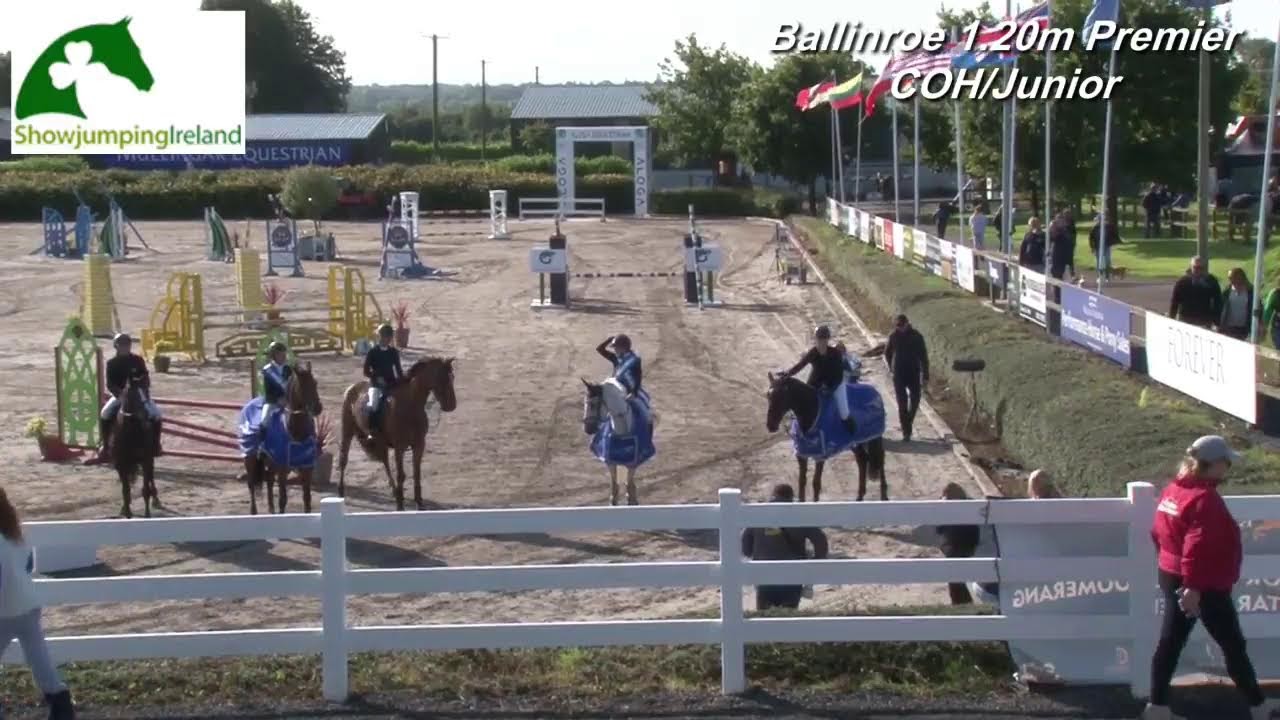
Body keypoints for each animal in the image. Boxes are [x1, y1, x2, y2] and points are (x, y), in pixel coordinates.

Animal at [111, 379, 158, 518]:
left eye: (147, 391)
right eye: (132, 395)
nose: (149, 417)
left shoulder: (146, 460)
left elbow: (145, 490)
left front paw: (147, 515)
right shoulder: (120, 464)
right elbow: (125, 491)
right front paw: (127, 512)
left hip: (150, 459)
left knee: (151, 477)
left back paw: (156, 500)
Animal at [241, 364, 323, 515]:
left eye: (315, 383)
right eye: (301, 385)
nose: (317, 408)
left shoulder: (306, 467)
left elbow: (307, 499)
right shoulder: (282, 469)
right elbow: (283, 499)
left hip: (270, 462)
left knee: (269, 480)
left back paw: (271, 510)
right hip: (249, 457)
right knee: (251, 483)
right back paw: (253, 512)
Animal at [338, 357, 457, 511]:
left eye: (452, 377)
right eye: (443, 378)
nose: (451, 406)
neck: (411, 405)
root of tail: (352, 388)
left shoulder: (419, 445)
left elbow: (416, 473)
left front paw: (419, 503)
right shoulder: (400, 447)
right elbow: (401, 475)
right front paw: (400, 506)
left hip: (380, 441)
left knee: (385, 461)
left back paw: (394, 491)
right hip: (347, 431)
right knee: (343, 459)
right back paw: (340, 492)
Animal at [581, 378, 657, 506]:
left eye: (593, 404)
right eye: (585, 402)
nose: (587, 429)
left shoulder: (633, 462)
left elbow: (629, 484)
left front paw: (632, 500)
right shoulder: (610, 461)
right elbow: (614, 486)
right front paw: (613, 501)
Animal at [765, 373, 888, 502]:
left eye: (781, 397)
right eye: (768, 396)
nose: (771, 426)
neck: (812, 412)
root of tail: (875, 392)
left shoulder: (820, 456)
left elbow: (816, 483)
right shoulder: (802, 456)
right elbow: (802, 482)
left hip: (874, 437)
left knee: (880, 458)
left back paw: (884, 495)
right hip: (855, 442)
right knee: (862, 460)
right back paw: (859, 496)